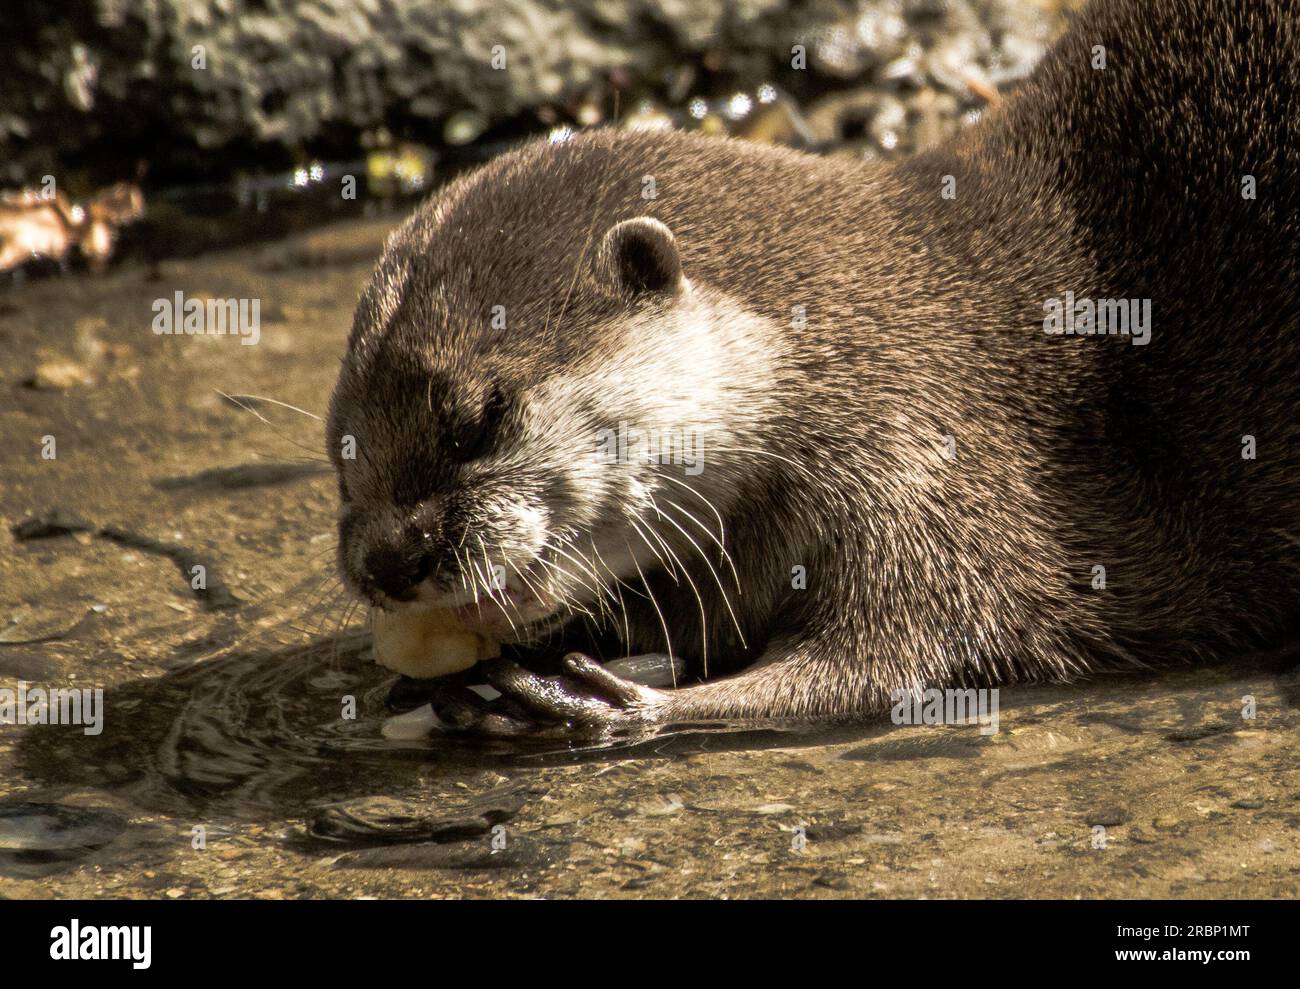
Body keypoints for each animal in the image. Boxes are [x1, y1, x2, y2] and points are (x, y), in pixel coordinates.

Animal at [327, 0, 1300, 736]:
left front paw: (613, 698)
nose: (386, 562)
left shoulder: (937, 467)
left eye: (477, 421)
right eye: (342, 454)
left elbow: (887, 660)